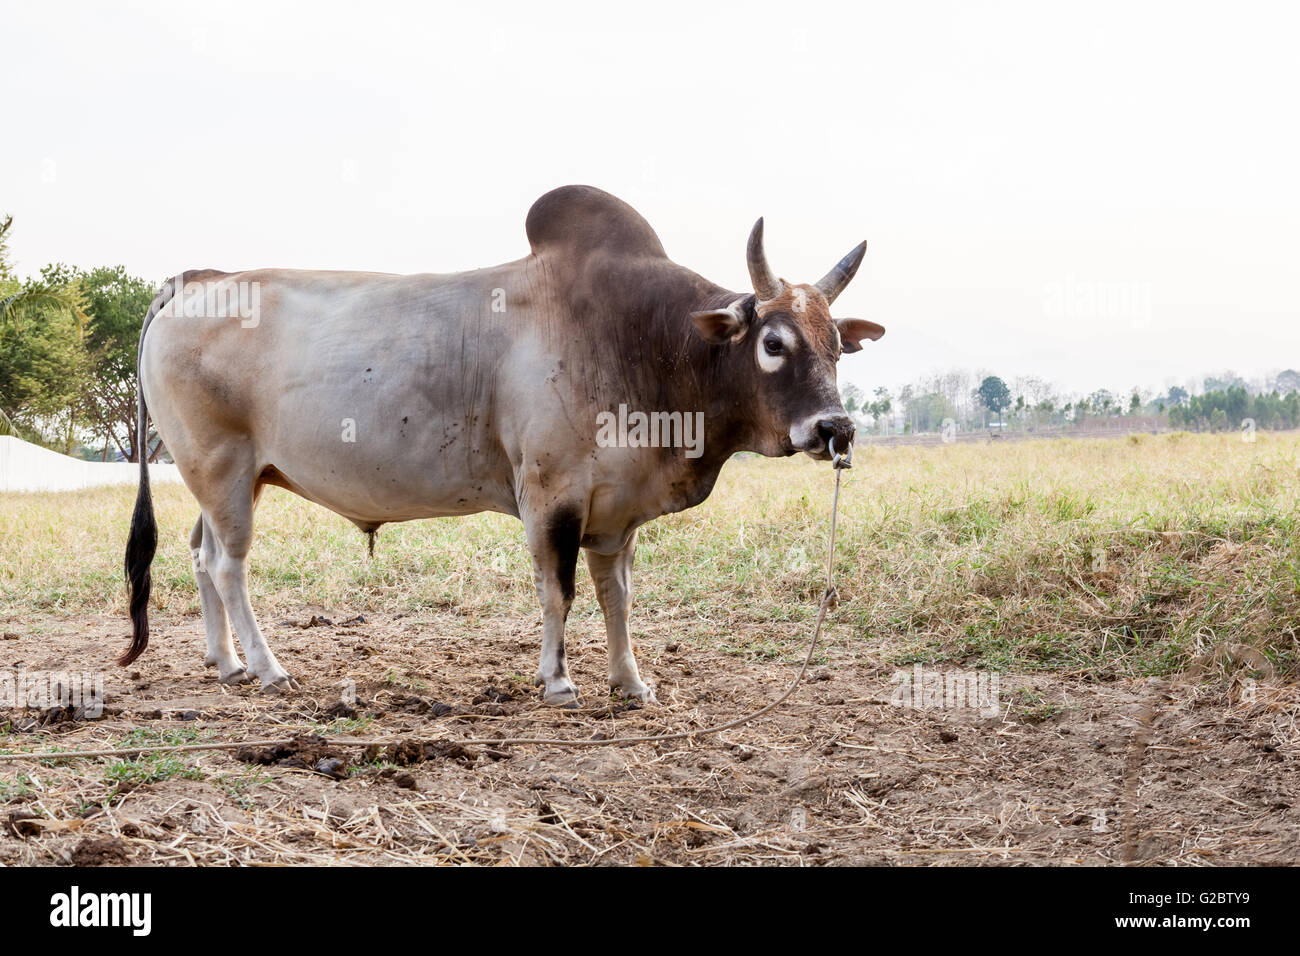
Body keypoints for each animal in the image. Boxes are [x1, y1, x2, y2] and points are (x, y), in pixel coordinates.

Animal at [122, 185, 884, 705]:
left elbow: (616, 595)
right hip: (221, 470)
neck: (642, 337)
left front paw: (630, 681)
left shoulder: (615, 510)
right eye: (773, 342)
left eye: (837, 346)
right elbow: (559, 592)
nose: (834, 430)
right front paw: (558, 680)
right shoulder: (552, 497)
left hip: (232, 479)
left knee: (200, 554)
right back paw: (268, 667)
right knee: (228, 565)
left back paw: (226, 663)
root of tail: (195, 281)